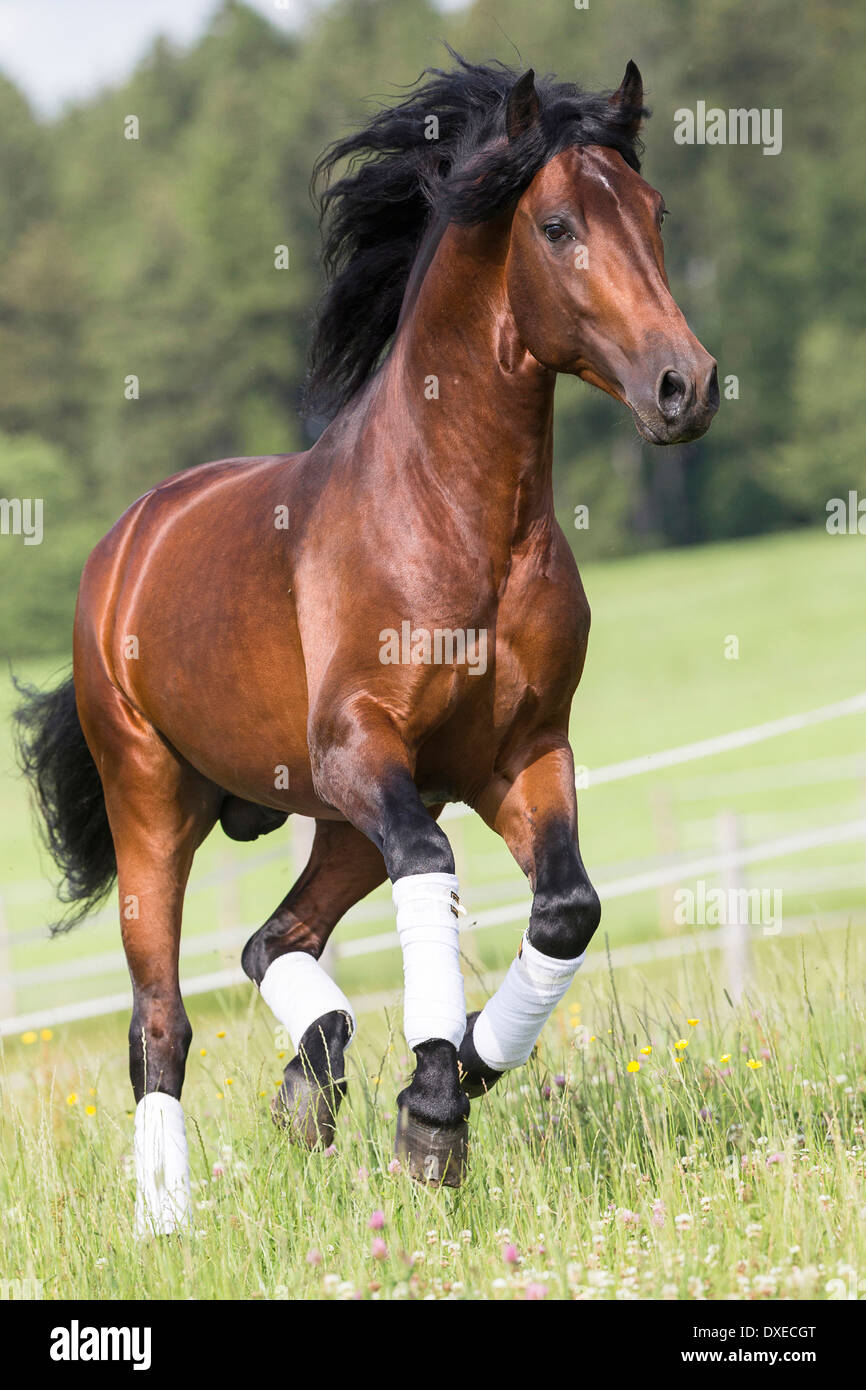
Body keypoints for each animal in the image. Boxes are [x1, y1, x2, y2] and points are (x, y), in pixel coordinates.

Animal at [14, 54, 718, 1230]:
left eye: (655, 213)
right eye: (558, 225)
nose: (687, 386)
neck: (458, 522)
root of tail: (126, 543)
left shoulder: (517, 757)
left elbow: (566, 910)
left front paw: (461, 1066)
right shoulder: (360, 747)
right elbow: (433, 874)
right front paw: (431, 1119)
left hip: (340, 822)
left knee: (273, 941)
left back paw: (314, 1082)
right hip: (157, 802)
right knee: (160, 1021)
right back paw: (169, 1216)